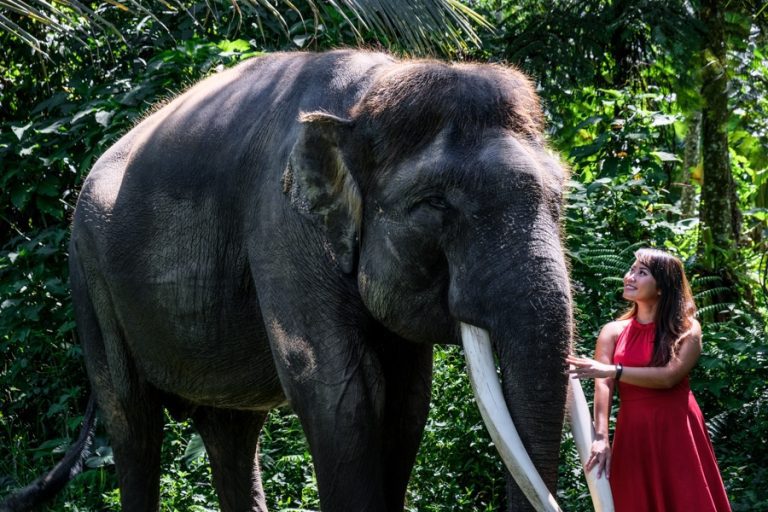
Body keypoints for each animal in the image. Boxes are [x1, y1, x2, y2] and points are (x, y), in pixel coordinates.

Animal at [1, 50, 610, 512]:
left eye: (560, 198)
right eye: (436, 203)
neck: (373, 91)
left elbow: (408, 400)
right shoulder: (280, 227)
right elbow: (343, 392)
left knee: (229, 432)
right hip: (90, 277)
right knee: (133, 422)